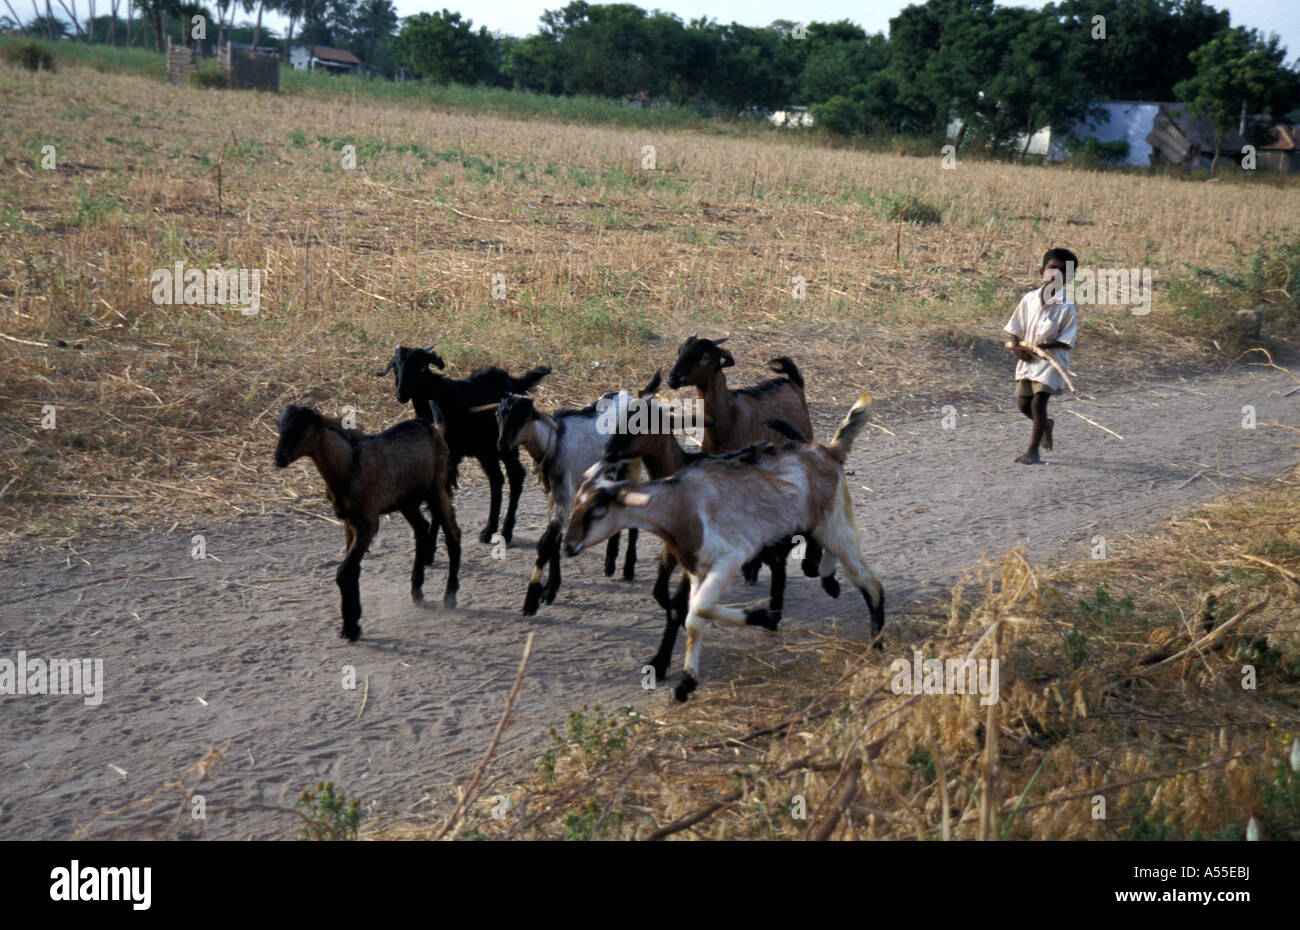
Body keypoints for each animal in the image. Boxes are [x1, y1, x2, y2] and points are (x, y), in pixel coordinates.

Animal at [273, 404, 461, 641]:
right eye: (280, 427)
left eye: (305, 428)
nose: (279, 458)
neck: (349, 466)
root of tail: (434, 428)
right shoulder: (348, 522)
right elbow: (352, 570)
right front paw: (353, 621)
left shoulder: (368, 525)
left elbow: (344, 571)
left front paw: (351, 628)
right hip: (406, 501)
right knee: (422, 528)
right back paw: (417, 590)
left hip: (436, 489)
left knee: (453, 534)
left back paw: (450, 596)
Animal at [378, 345, 550, 545]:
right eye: (395, 368)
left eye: (420, 367)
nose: (401, 395)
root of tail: (513, 384)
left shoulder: (450, 456)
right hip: (486, 450)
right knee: (496, 479)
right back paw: (488, 530)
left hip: (505, 444)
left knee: (516, 476)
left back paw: (506, 532)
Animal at [495, 390, 643, 615]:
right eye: (499, 415)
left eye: (522, 417)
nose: (501, 447)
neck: (555, 442)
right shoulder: (553, 496)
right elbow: (555, 541)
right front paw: (550, 589)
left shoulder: (565, 496)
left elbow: (545, 543)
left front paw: (532, 599)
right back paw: (610, 563)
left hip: (632, 466)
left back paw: (628, 569)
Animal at [565, 395, 884, 702]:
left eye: (642, 421)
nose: (608, 452)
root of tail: (822, 448)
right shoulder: (681, 556)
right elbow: (674, 602)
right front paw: (673, 666)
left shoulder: (711, 557)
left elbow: (684, 607)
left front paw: (663, 663)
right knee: (789, 563)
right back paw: (799, 598)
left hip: (817, 522)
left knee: (841, 564)